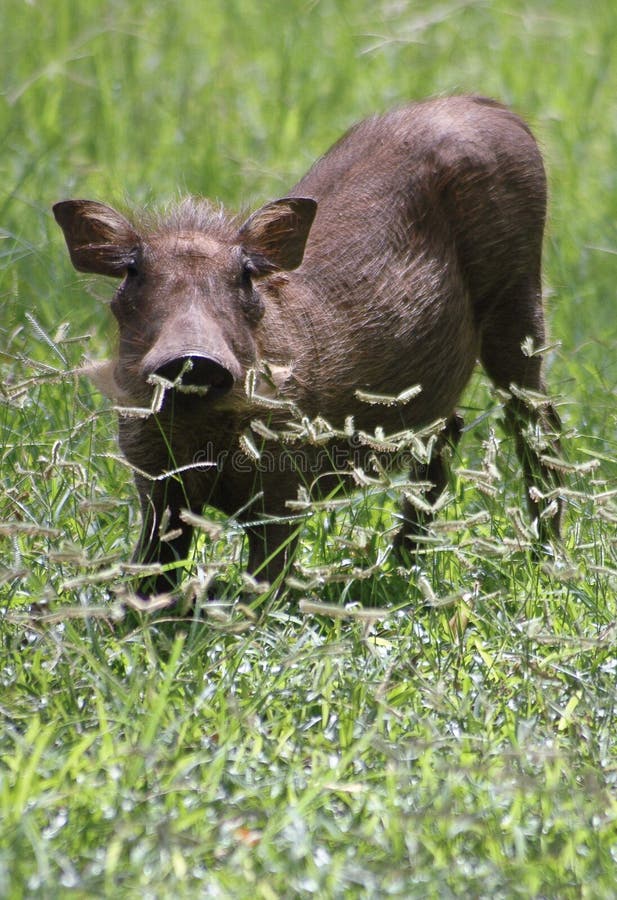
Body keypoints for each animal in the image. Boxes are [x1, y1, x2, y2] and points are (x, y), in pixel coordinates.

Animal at [54, 95, 563, 598]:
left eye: (245, 275)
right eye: (133, 272)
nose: (193, 360)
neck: (203, 430)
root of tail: (492, 106)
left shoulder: (284, 493)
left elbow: (264, 588)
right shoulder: (159, 491)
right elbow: (148, 580)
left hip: (517, 305)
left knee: (539, 423)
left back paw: (547, 561)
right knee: (446, 435)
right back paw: (399, 566)